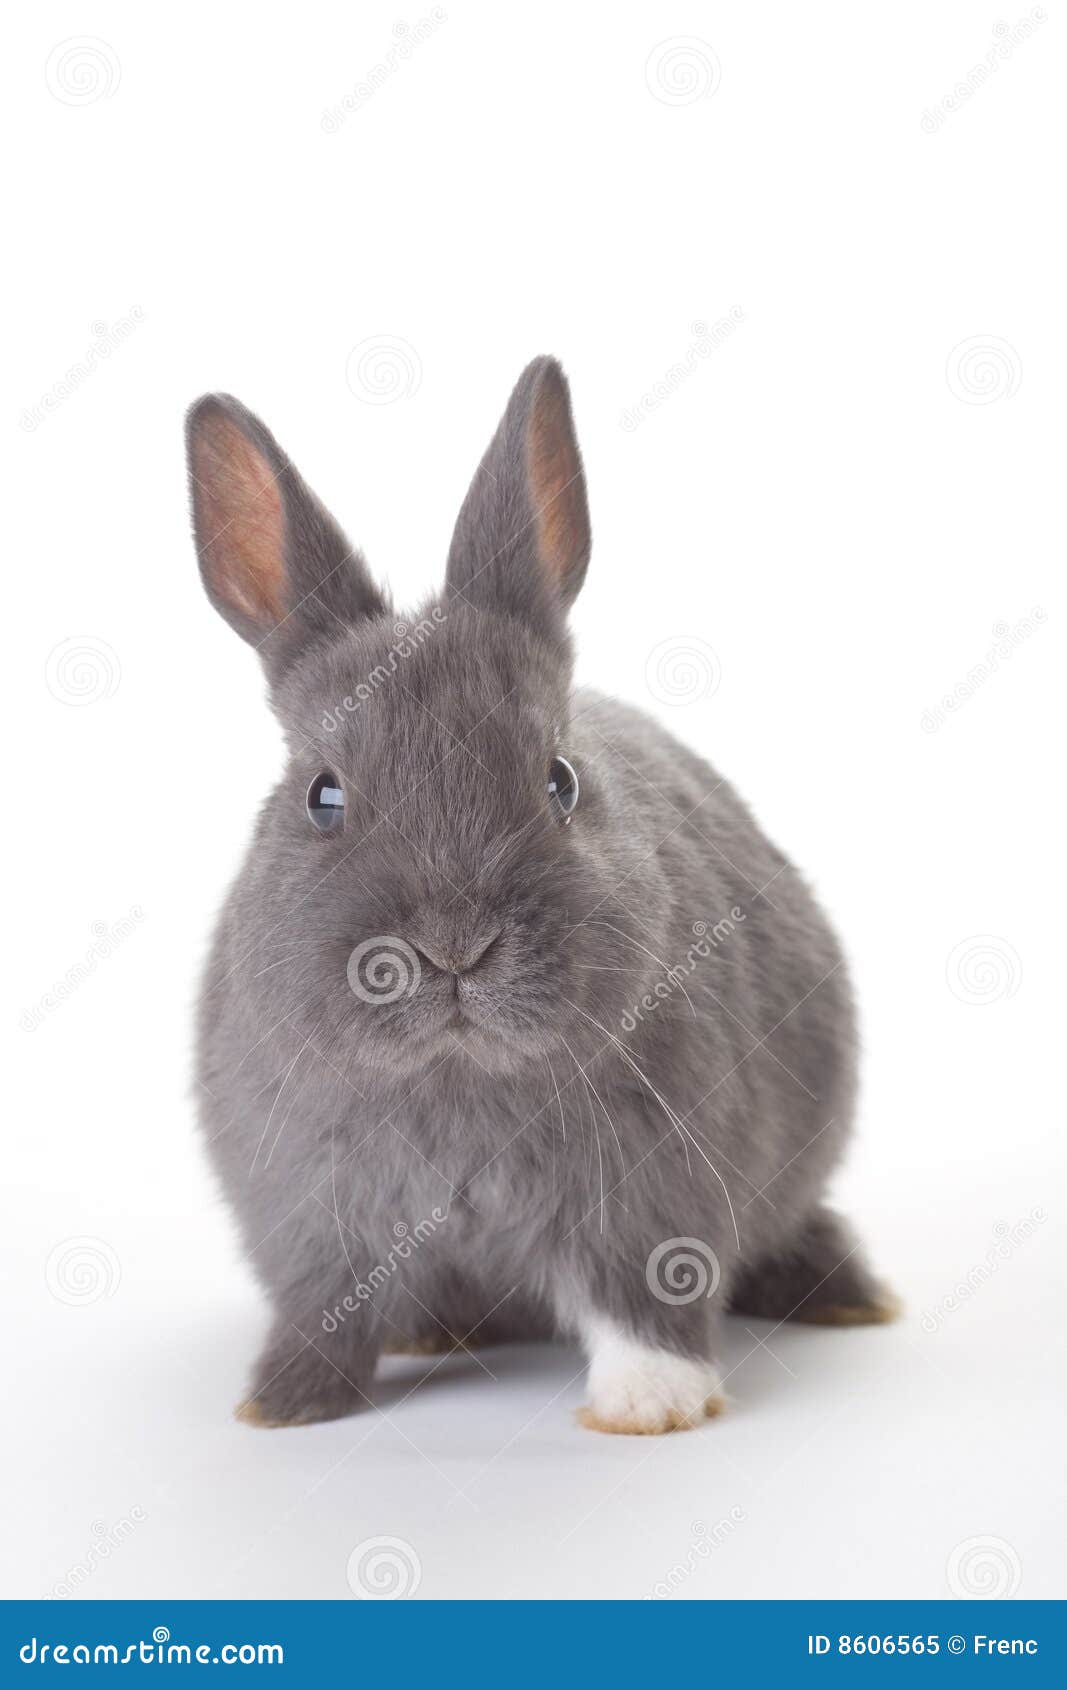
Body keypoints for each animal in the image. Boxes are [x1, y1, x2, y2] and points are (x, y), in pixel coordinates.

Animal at [185, 356, 895, 1436]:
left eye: (558, 781)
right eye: (323, 795)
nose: (451, 946)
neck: (457, 1074)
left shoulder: (651, 1200)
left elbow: (644, 1299)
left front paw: (649, 1407)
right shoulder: (310, 1224)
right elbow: (321, 1314)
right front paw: (284, 1406)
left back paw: (849, 1296)